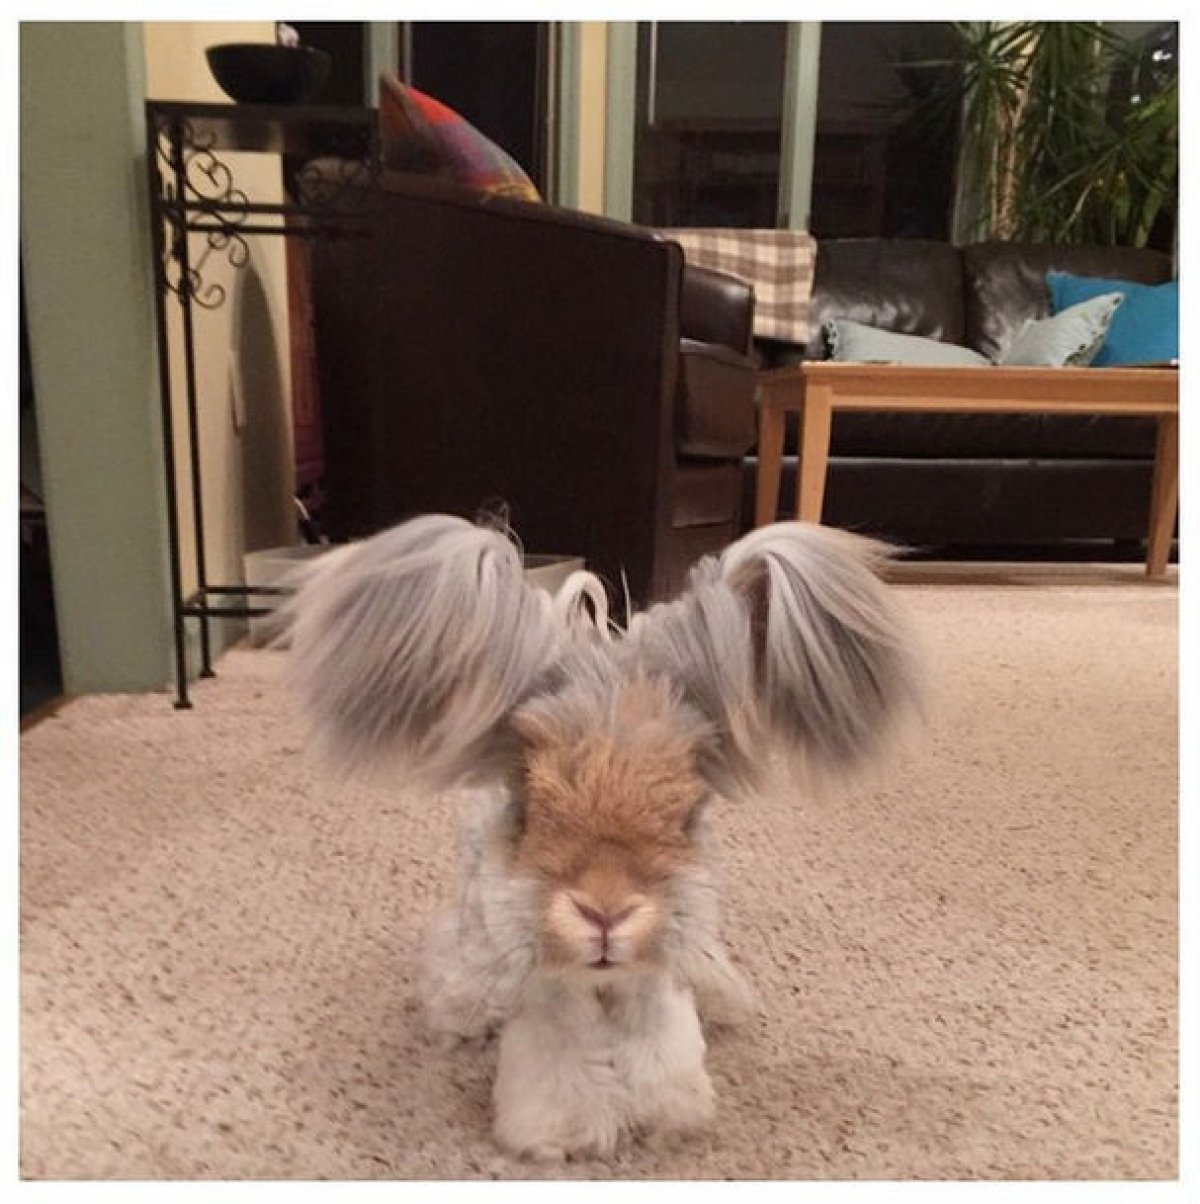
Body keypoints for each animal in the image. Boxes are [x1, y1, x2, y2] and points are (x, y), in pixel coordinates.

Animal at [279, 514, 922, 1160]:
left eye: (687, 812)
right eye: (529, 805)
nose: (606, 911)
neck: (606, 989)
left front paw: (663, 1124)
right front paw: (569, 1137)